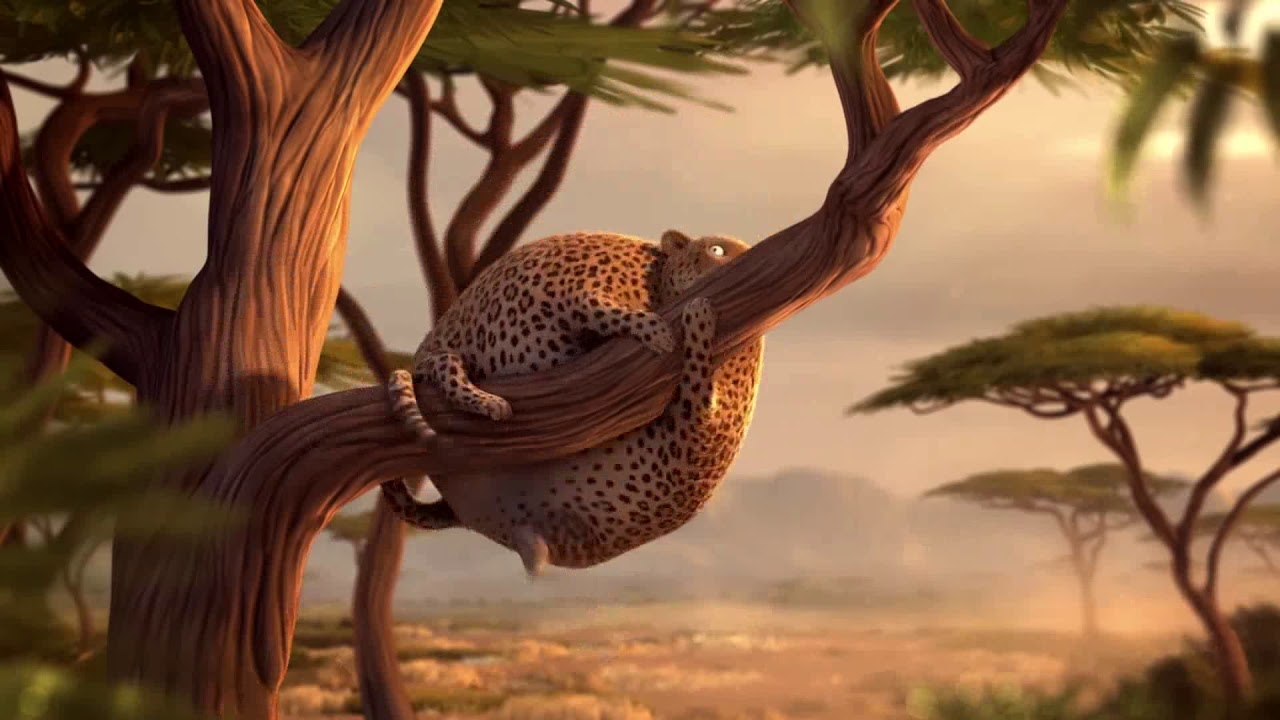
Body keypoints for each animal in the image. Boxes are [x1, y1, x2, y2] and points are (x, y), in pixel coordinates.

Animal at [382, 229, 765, 576]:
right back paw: (489, 403)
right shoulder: (579, 293)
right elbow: (614, 314)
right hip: (444, 354)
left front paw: (687, 321)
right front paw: (661, 330)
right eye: (716, 249)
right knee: (447, 369)